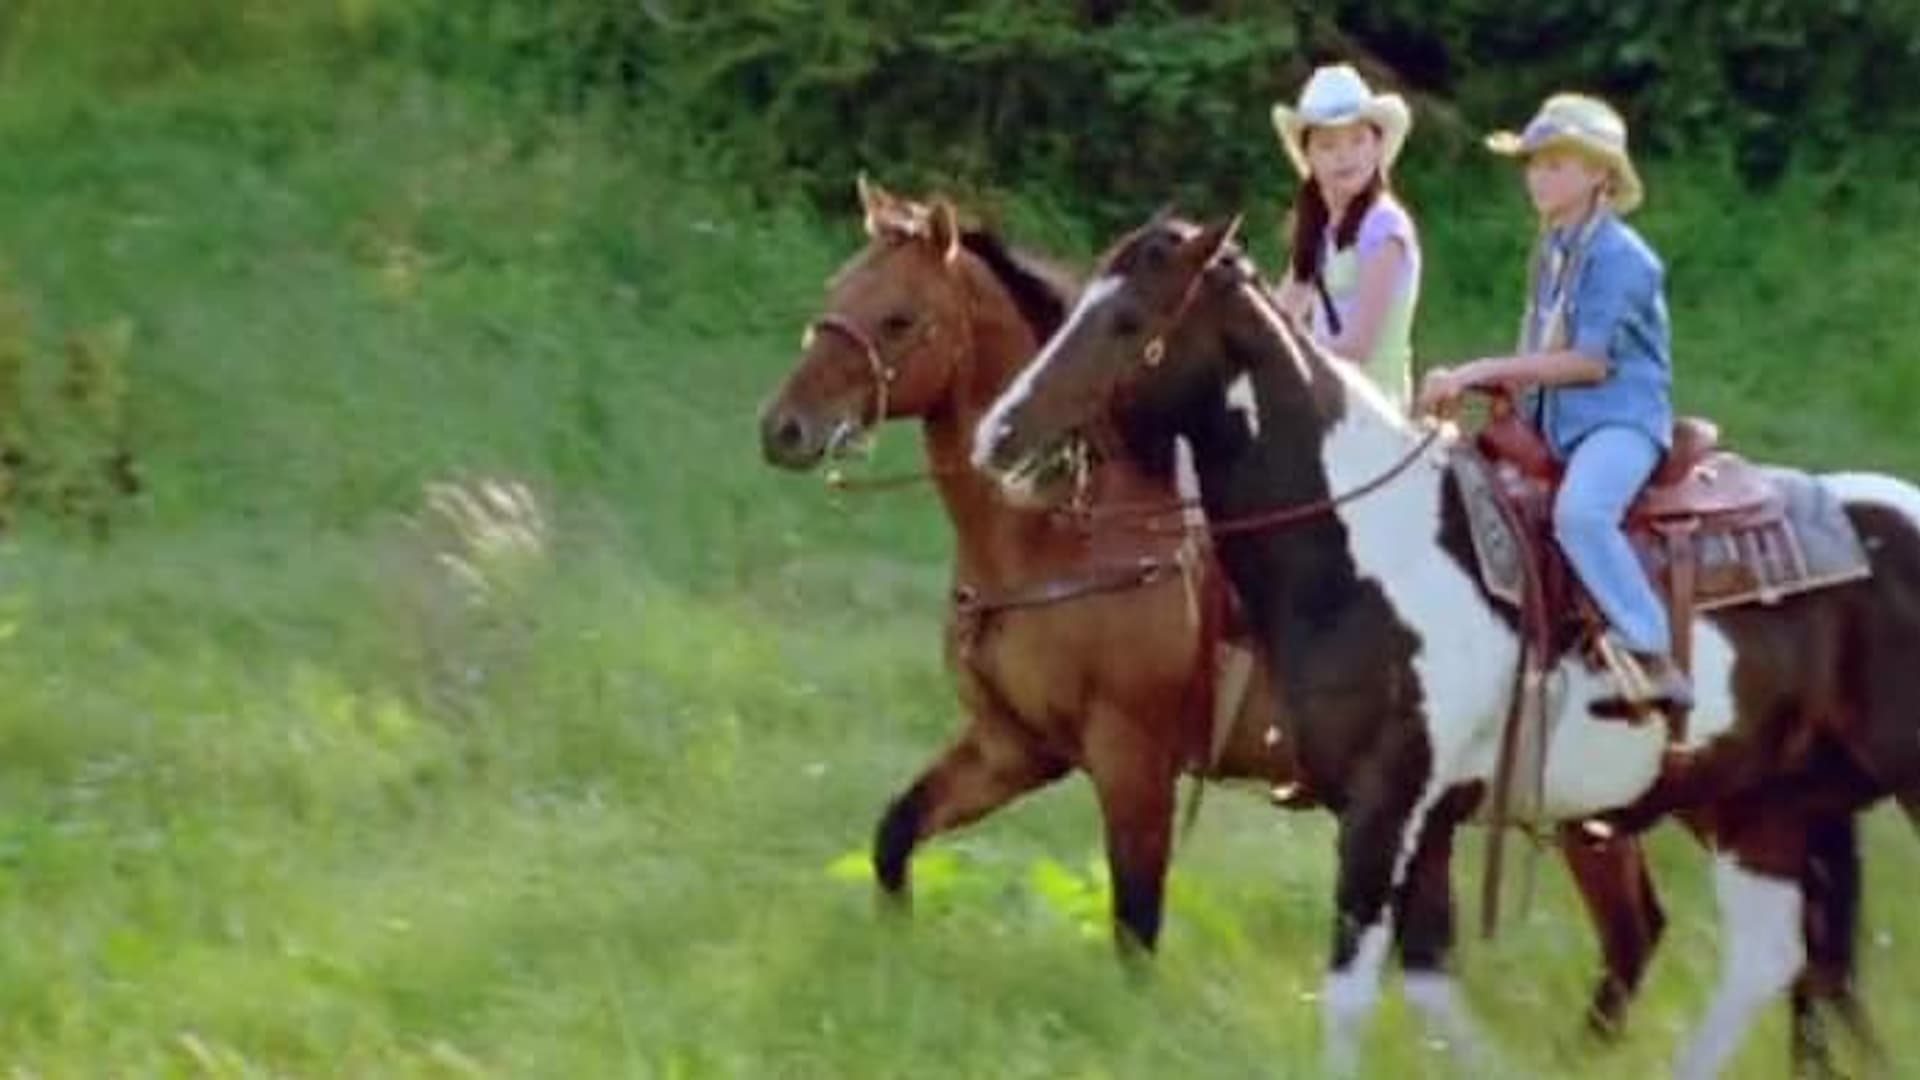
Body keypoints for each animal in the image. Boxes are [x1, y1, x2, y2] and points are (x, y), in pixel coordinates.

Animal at [758, 181, 1674, 1036]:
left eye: (898, 318)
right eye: (839, 289)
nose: (784, 428)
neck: (1062, 534)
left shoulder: (1132, 759)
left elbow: (1135, 922)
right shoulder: (1012, 746)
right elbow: (896, 833)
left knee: (1631, 935)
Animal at [971, 212, 1920, 1078]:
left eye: (1128, 321)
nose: (997, 436)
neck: (1370, 546)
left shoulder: (1382, 804)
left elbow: (1349, 988)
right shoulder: (1424, 819)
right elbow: (1430, 980)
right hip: (1765, 803)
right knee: (1778, 958)